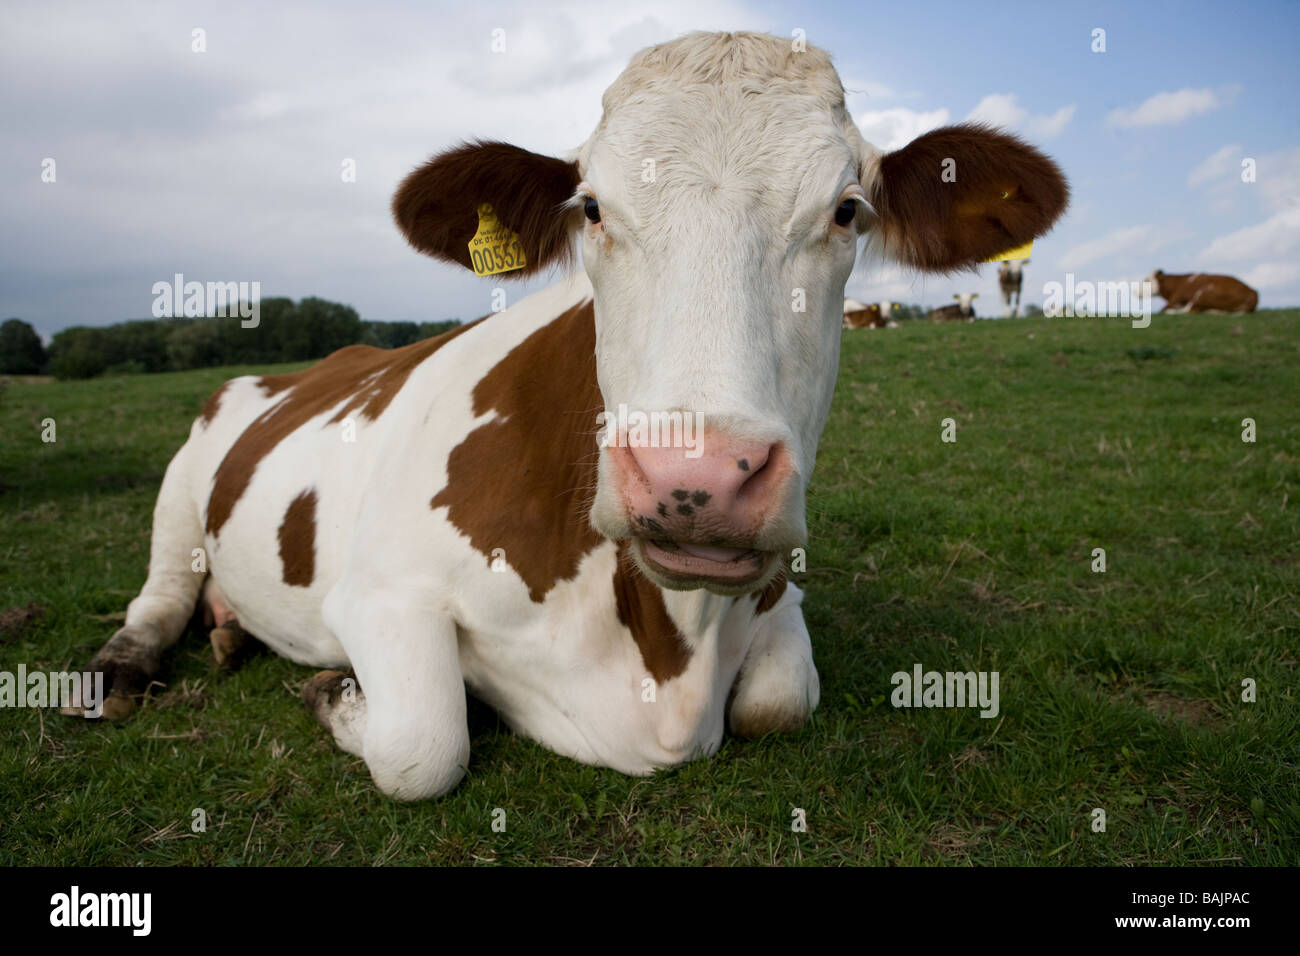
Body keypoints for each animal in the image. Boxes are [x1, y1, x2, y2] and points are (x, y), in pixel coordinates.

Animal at [71, 32, 1067, 800]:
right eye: (590, 206)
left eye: (848, 210)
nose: (694, 479)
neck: (666, 654)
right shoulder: (380, 591)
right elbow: (423, 748)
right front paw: (335, 694)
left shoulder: (778, 588)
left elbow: (780, 701)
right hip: (183, 477)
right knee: (158, 595)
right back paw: (124, 665)